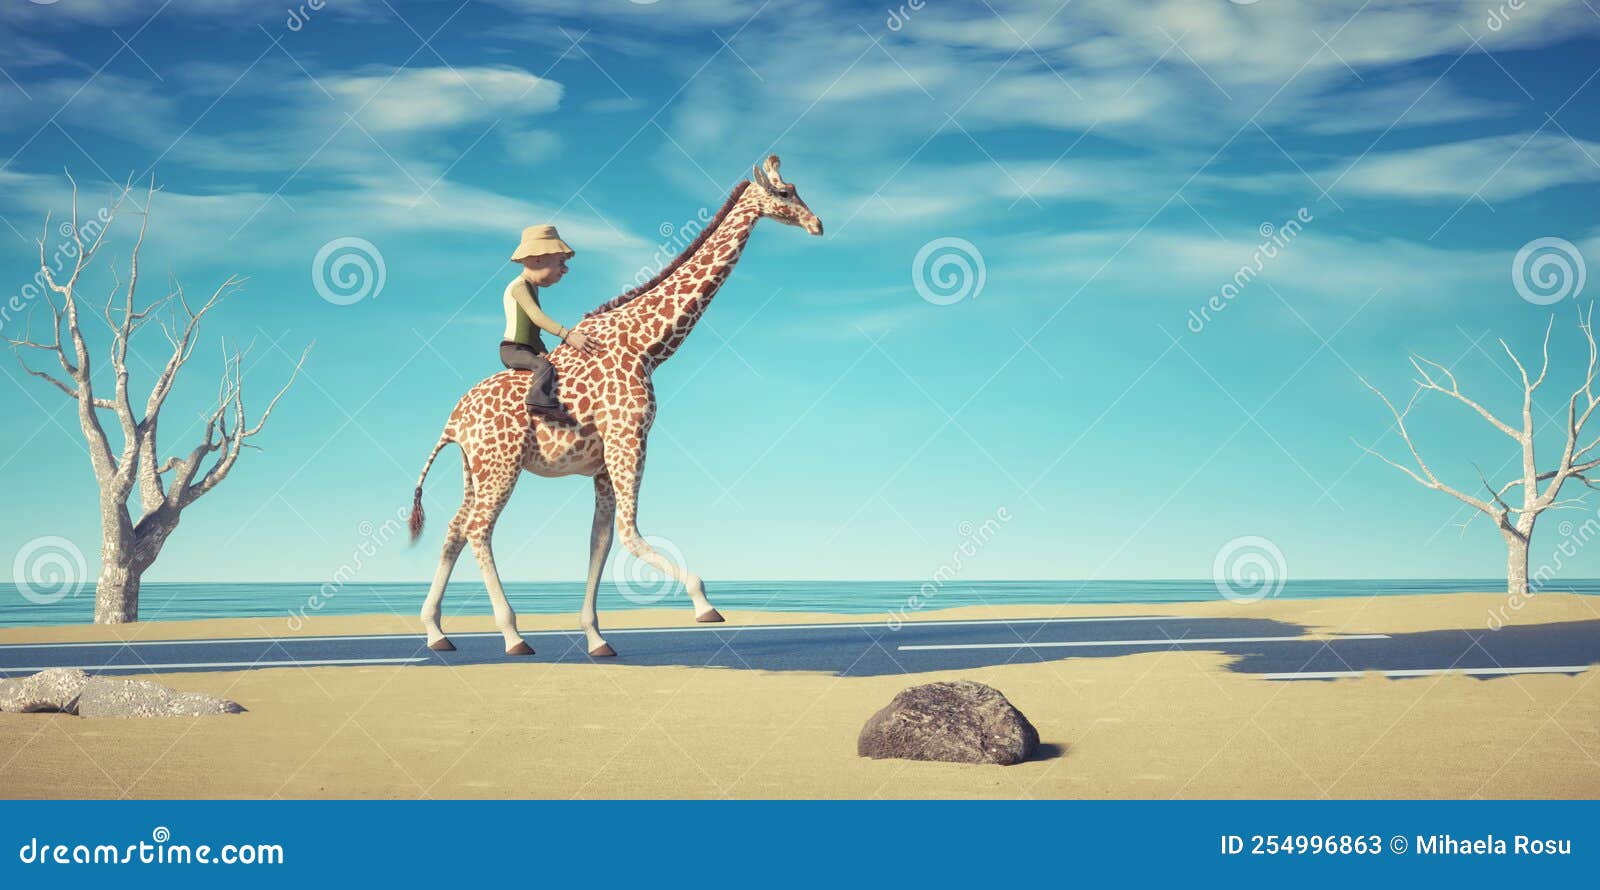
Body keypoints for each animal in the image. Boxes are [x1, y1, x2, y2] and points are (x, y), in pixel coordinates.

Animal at [409, 155, 822, 657]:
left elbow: (600, 540)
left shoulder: (605, 460)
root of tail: (451, 422)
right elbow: (628, 531)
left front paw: (596, 637)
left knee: (454, 528)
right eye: (785, 193)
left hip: (476, 466)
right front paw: (704, 603)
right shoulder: (630, 439)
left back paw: (436, 631)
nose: (817, 224)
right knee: (478, 530)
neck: (649, 347)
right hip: (502, 464)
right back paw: (512, 635)